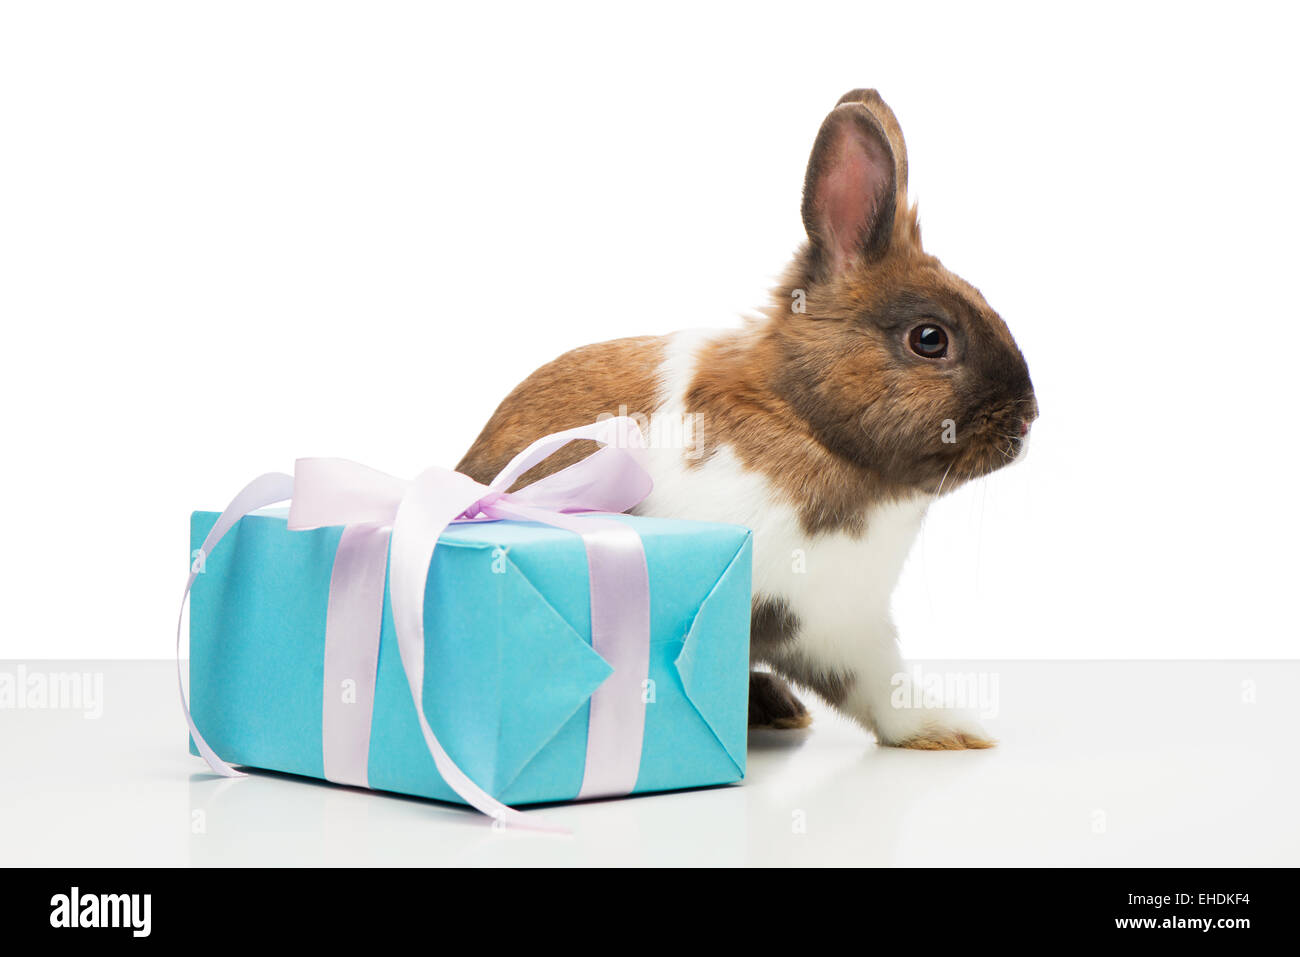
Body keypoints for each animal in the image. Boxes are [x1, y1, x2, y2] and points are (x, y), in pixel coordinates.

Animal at [458, 89, 1036, 749]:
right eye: (930, 338)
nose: (1028, 420)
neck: (809, 429)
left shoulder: (841, 623)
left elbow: (885, 693)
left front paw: (951, 732)